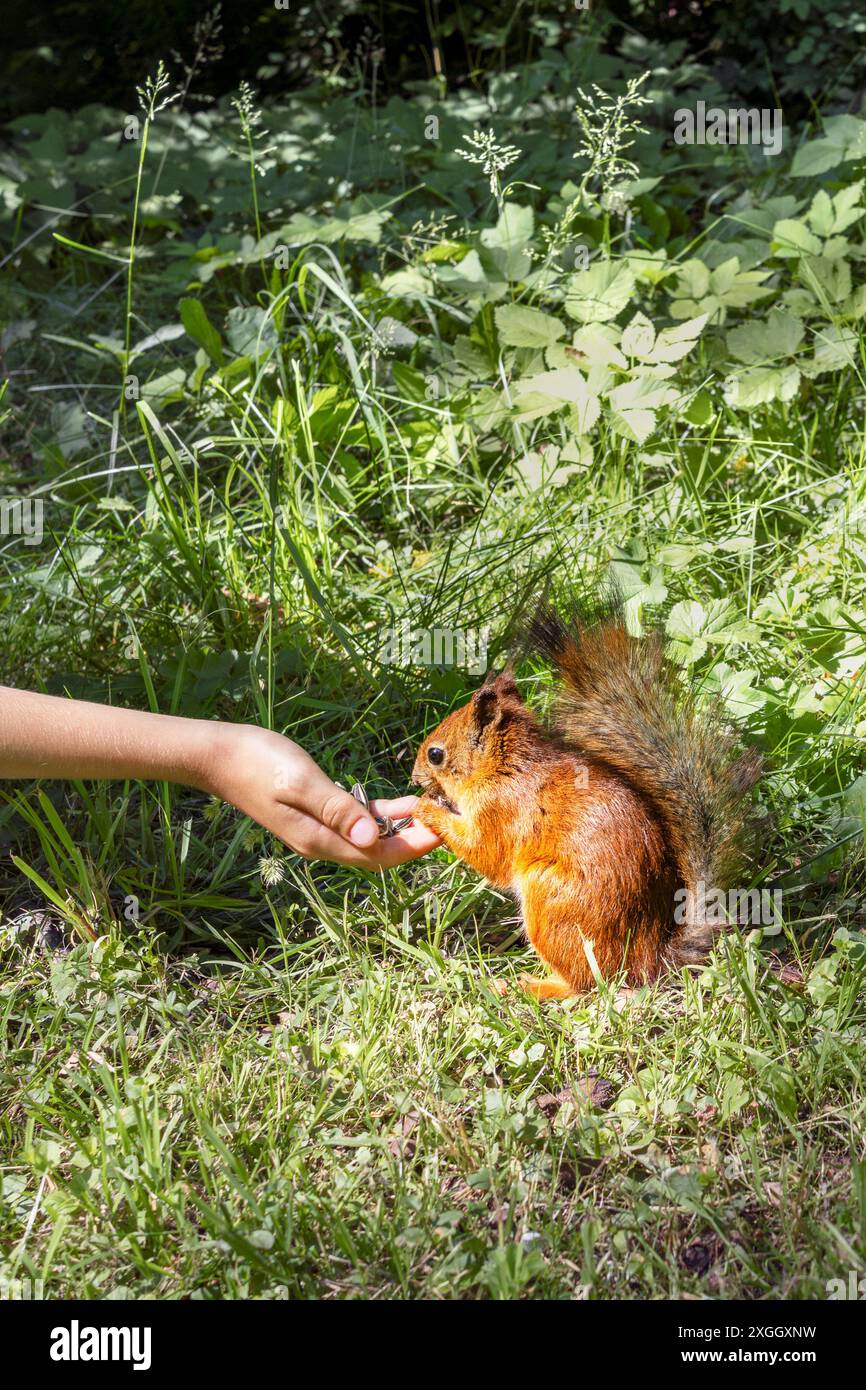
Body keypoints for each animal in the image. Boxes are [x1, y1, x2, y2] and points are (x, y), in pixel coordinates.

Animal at [411, 597, 762, 999]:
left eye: (436, 754)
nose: (414, 777)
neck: (503, 767)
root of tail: (646, 959)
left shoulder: (500, 809)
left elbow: (487, 853)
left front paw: (425, 807)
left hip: (549, 899)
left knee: (584, 983)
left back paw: (528, 985)